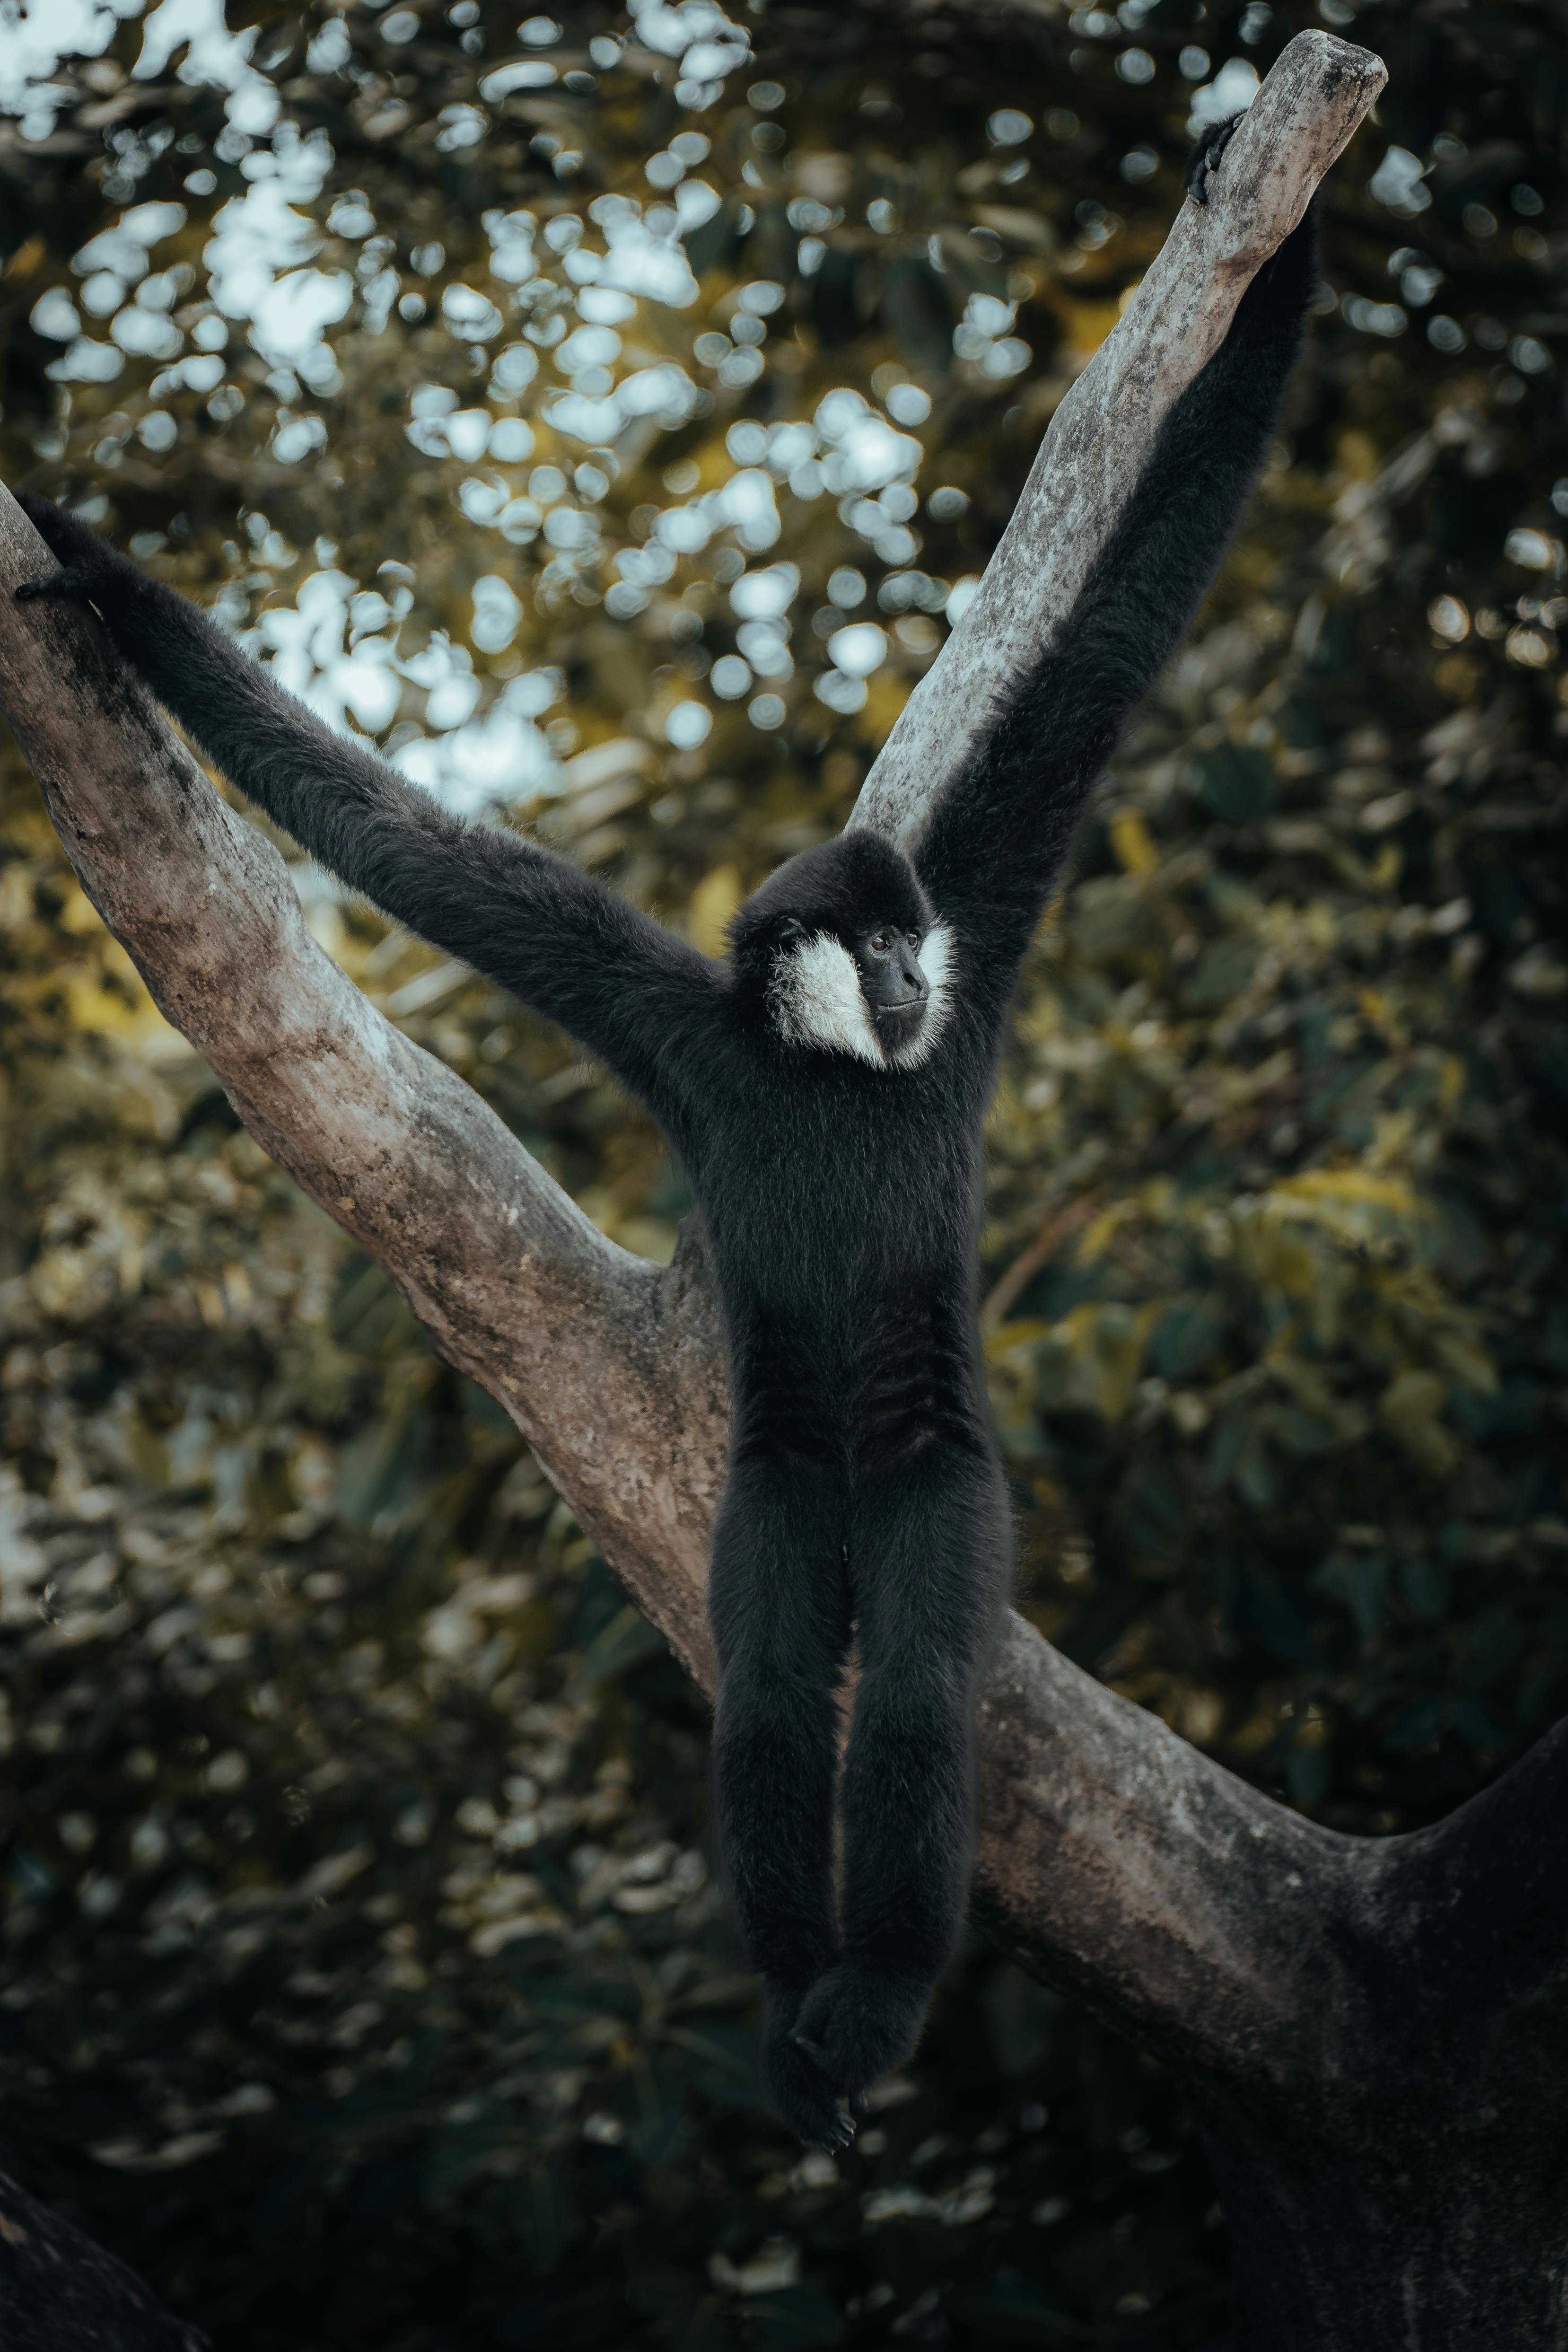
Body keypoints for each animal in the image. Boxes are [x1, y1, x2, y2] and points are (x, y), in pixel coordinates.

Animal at [16, 122, 1314, 2149]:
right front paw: (94, 576)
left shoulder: (984, 934)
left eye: (912, 942)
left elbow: (1117, 627)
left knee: (913, 1696)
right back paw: (799, 1999)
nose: (911, 977)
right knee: (774, 1691)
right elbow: (407, 848)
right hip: (770, 1487)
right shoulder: (675, 1023)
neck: (830, 1070)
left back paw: (870, 1995)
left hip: (930, 1480)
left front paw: (1288, 255)